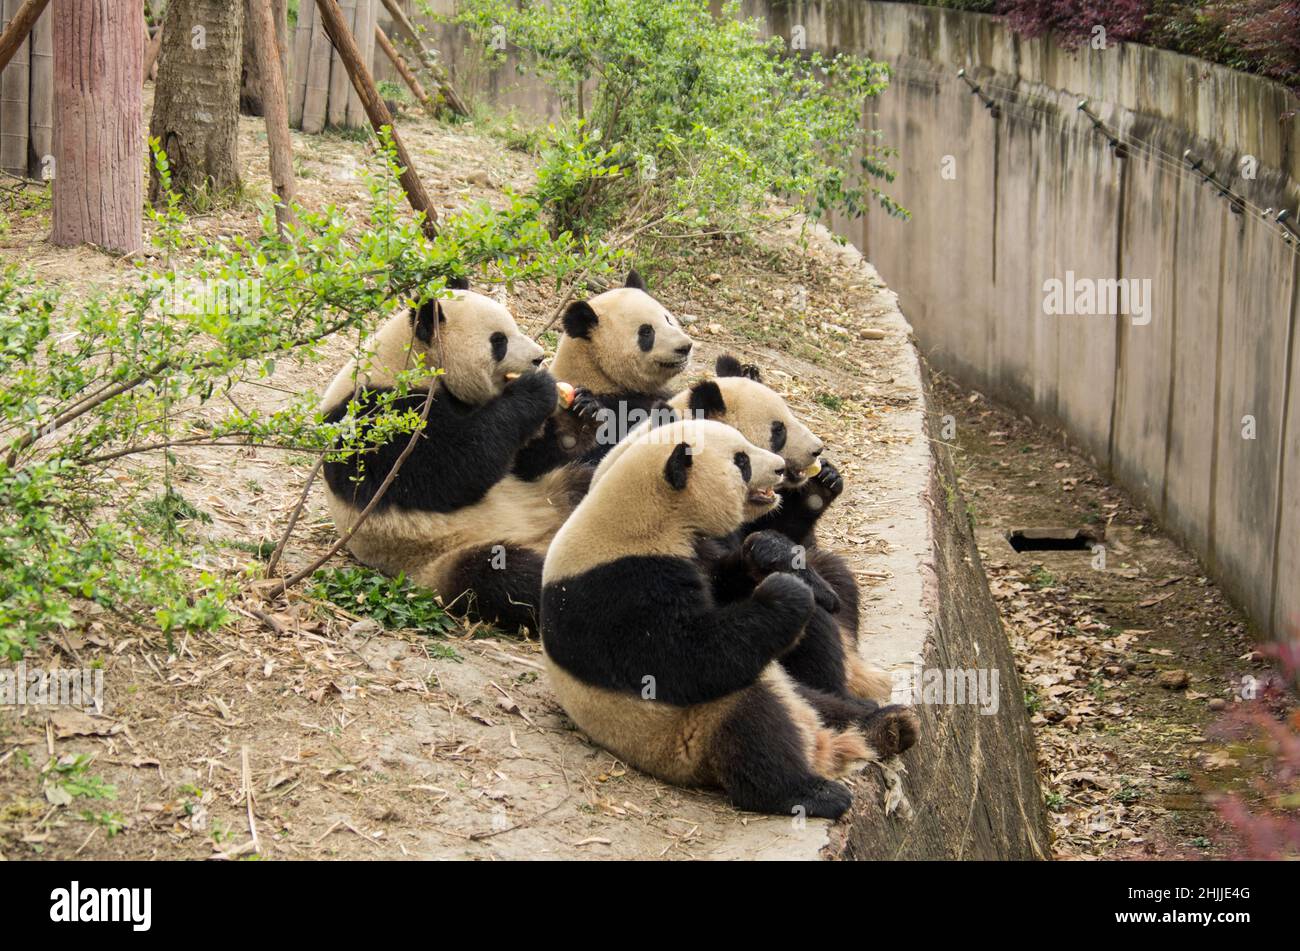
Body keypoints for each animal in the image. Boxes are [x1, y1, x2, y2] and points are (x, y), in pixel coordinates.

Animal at [319, 279, 590, 633]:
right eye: (499, 341)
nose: (539, 357)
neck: (408, 361)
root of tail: (544, 534)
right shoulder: (376, 416)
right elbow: (448, 470)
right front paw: (536, 390)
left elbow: (523, 462)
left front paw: (579, 415)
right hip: (443, 557)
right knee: (507, 577)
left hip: (551, 493)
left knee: (589, 484)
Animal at [541, 418, 919, 819]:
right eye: (742, 460)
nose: (780, 469)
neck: (649, 515)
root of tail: (821, 745)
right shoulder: (618, 587)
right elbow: (685, 659)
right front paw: (785, 591)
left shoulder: (697, 551)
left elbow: (729, 578)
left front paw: (772, 553)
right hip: (689, 734)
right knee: (751, 726)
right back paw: (812, 792)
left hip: (792, 694)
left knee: (823, 700)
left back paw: (885, 723)